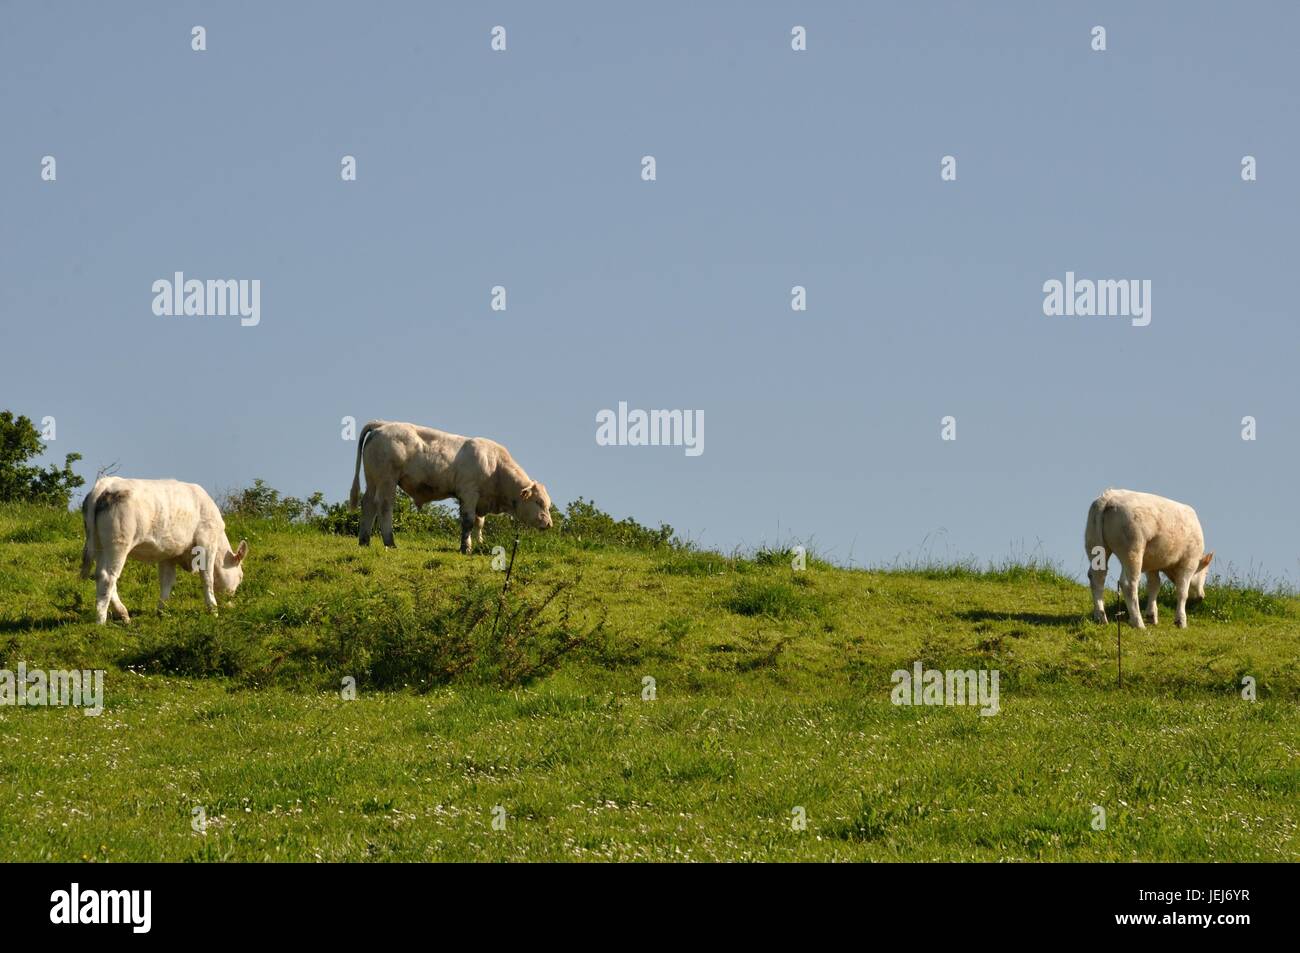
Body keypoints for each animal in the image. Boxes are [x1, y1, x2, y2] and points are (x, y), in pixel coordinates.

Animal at [80, 477, 248, 625]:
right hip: (118, 545)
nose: (231, 602)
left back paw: (123, 614)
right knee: (108, 577)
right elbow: (207, 578)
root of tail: (106, 484)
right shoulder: (206, 544)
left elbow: (167, 582)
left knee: (102, 576)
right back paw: (101, 621)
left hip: (99, 546)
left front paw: (162, 611)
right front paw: (213, 610)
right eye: (240, 576)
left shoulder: (168, 555)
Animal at [349, 420, 553, 553]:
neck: (496, 466)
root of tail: (382, 425)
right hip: (387, 479)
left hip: (372, 479)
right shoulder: (469, 492)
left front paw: (480, 543)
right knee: (384, 506)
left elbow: (479, 522)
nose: (549, 523)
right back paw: (390, 542)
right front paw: (466, 548)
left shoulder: (481, 499)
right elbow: (468, 521)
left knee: (368, 504)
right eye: (538, 502)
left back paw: (364, 541)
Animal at [1084, 488, 1213, 629]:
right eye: (1206, 573)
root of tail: (1109, 496)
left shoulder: (1152, 563)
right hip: (1133, 551)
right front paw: (1181, 621)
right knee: (1128, 584)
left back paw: (1101, 618)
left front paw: (1152, 616)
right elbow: (1182, 591)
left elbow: (1154, 586)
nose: (1202, 596)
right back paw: (1138, 623)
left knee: (1097, 577)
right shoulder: (1189, 561)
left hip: (1095, 545)